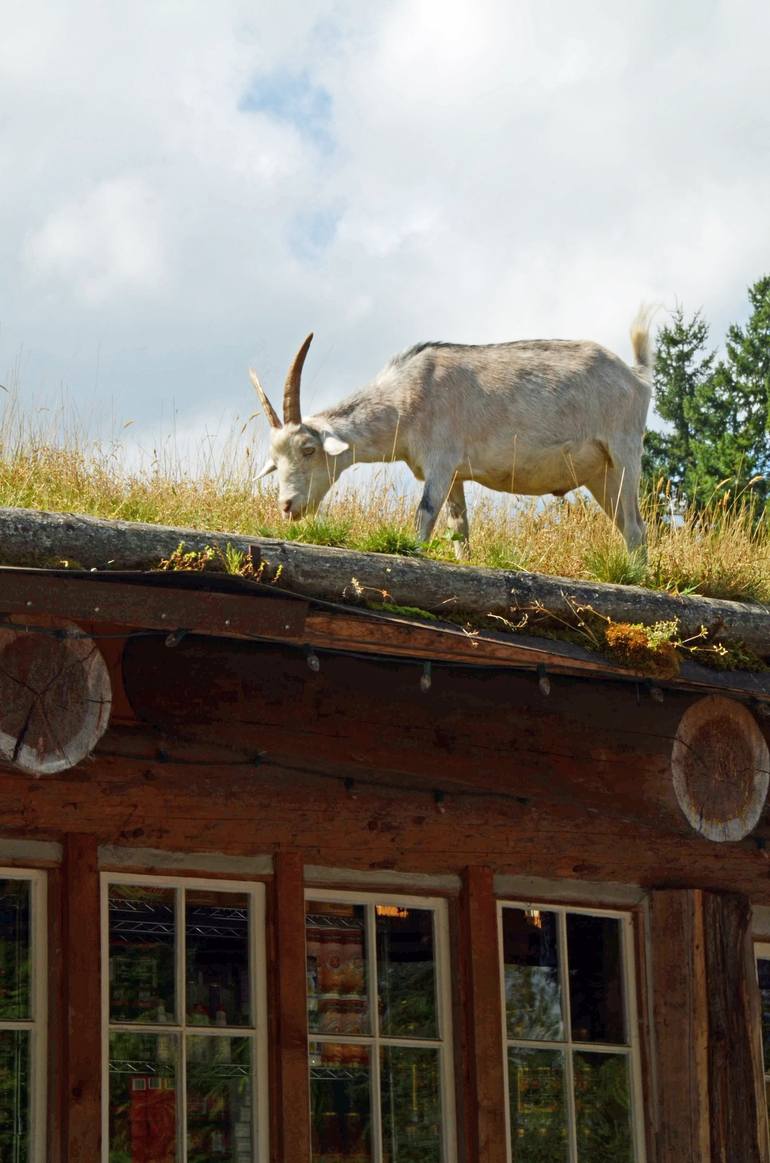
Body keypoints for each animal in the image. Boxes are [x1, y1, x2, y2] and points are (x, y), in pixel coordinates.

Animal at [250, 312, 653, 554]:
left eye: (308, 449)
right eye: (275, 461)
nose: (287, 506)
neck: (406, 394)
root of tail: (637, 377)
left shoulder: (441, 463)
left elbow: (425, 514)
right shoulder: (456, 474)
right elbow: (459, 527)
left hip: (624, 451)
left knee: (635, 526)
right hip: (601, 474)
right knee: (627, 525)